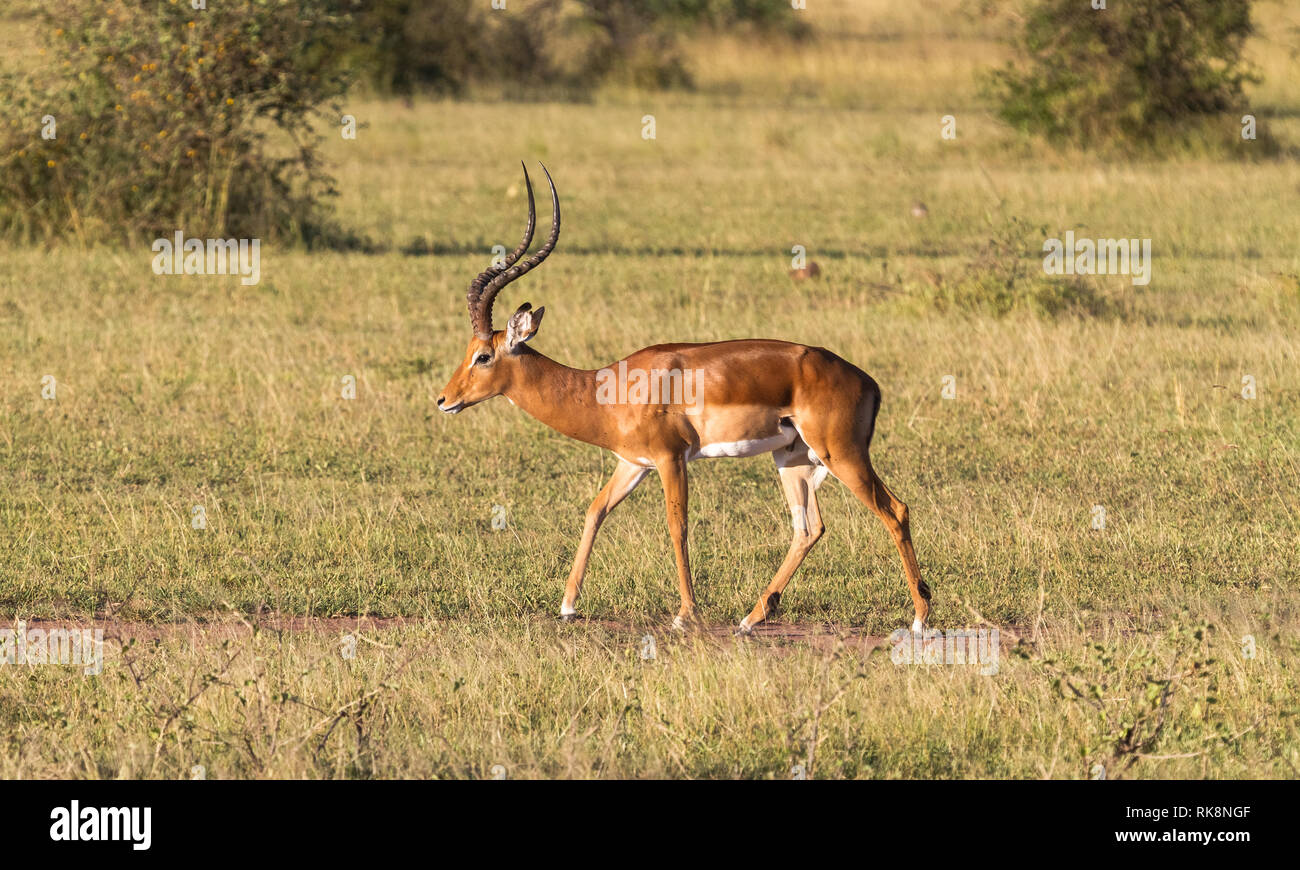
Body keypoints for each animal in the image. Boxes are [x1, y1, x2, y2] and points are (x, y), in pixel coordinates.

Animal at [437, 165, 931, 633]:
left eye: (483, 355)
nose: (444, 400)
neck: (605, 388)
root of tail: (867, 381)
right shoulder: (632, 463)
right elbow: (595, 511)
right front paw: (567, 606)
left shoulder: (670, 458)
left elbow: (677, 527)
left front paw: (685, 614)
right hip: (794, 458)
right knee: (808, 529)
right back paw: (750, 619)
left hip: (842, 454)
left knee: (895, 510)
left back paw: (920, 617)